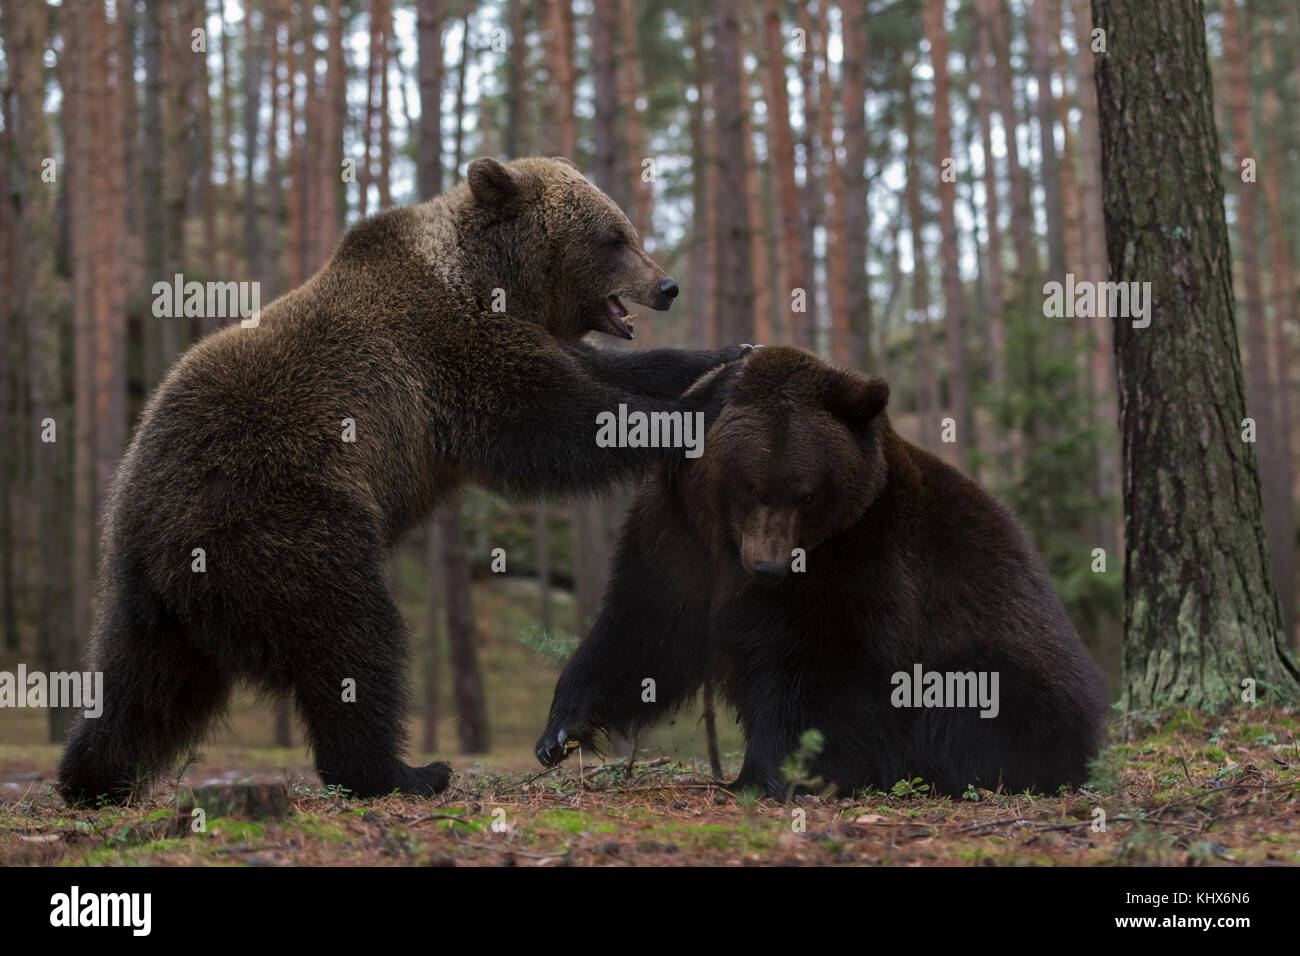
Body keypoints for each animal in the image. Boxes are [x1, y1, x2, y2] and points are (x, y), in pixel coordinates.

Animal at [58, 156, 749, 804]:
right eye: (613, 238)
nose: (667, 285)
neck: (493, 283)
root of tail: (143, 509)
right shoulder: (451, 356)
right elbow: (554, 422)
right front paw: (692, 411)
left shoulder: (526, 341)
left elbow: (619, 370)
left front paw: (727, 355)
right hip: (284, 520)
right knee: (352, 640)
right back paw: (404, 771)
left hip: (147, 590)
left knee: (145, 683)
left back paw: (93, 776)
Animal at [535, 346, 1108, 799]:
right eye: (749, 486)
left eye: (807, 493)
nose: (769, 566)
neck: (728, 546)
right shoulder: (676, 534)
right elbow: (644, 627)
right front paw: (561, 731)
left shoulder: (860, 558)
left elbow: (820, 670)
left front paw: (766, 774)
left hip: (1020, 678)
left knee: (972, 708)